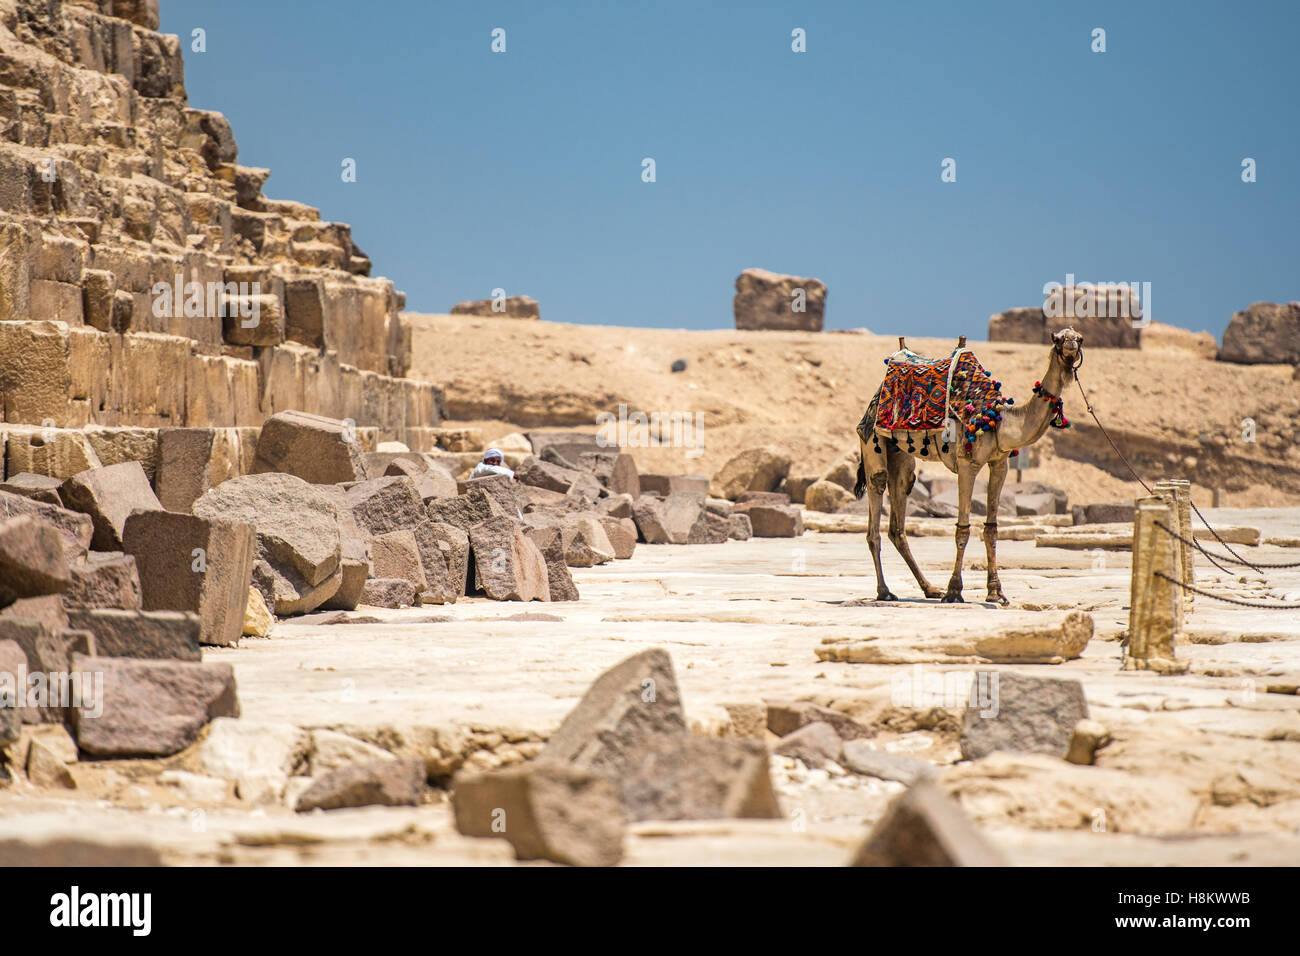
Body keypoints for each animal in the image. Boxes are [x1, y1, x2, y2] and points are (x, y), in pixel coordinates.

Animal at [853, 328, 1084, 605]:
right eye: (1058, 339)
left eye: (1079, 338)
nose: (1070, 347)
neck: (998, 421)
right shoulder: (967, 463)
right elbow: (962, 530)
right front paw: (954, 591)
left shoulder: (1000, 463)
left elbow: (991, 529)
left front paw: (996, 592)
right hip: (872, 440)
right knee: (876, 501)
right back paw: (885, 591)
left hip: (901, 455)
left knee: (899, 513)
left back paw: (929, 588)